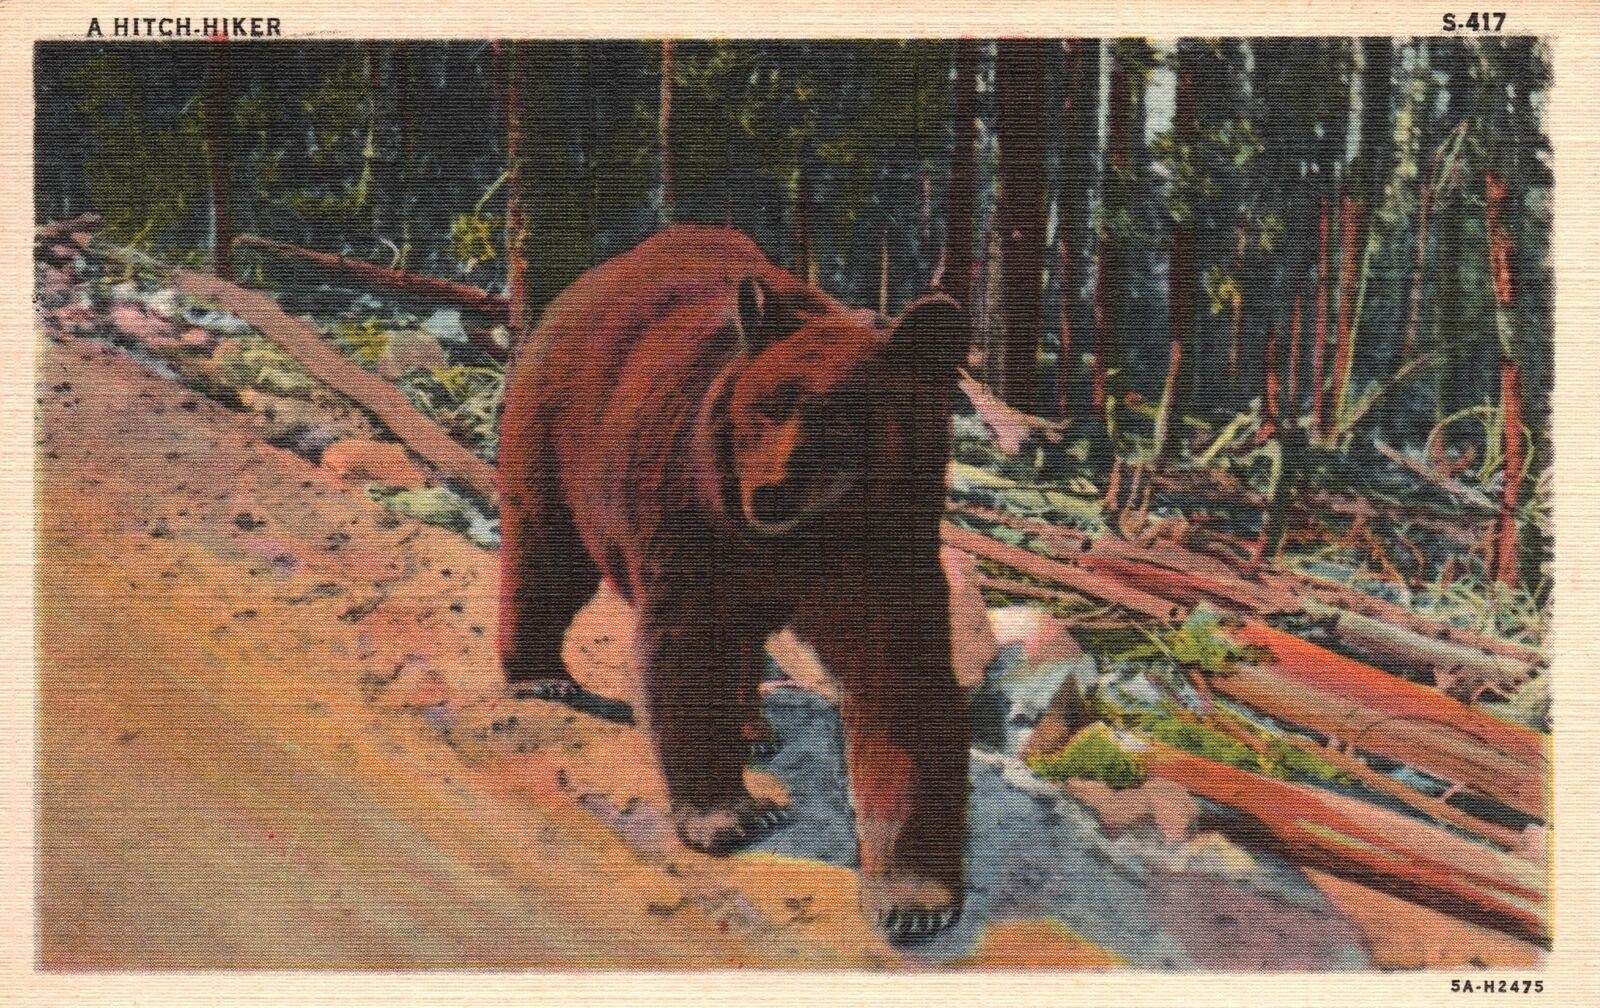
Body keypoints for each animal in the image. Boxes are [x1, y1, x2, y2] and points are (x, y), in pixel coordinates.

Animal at [497, 225, 970, 944]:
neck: (808, 535)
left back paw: (752, 725)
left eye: (839, 418)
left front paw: (913, 897)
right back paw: (542, 675)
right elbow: (687, 644)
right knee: (546, 549)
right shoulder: (693, 512)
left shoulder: (885, 549)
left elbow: (899, 683)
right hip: (560, 428)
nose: (769, 493)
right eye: (766, 409)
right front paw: (732, 815)